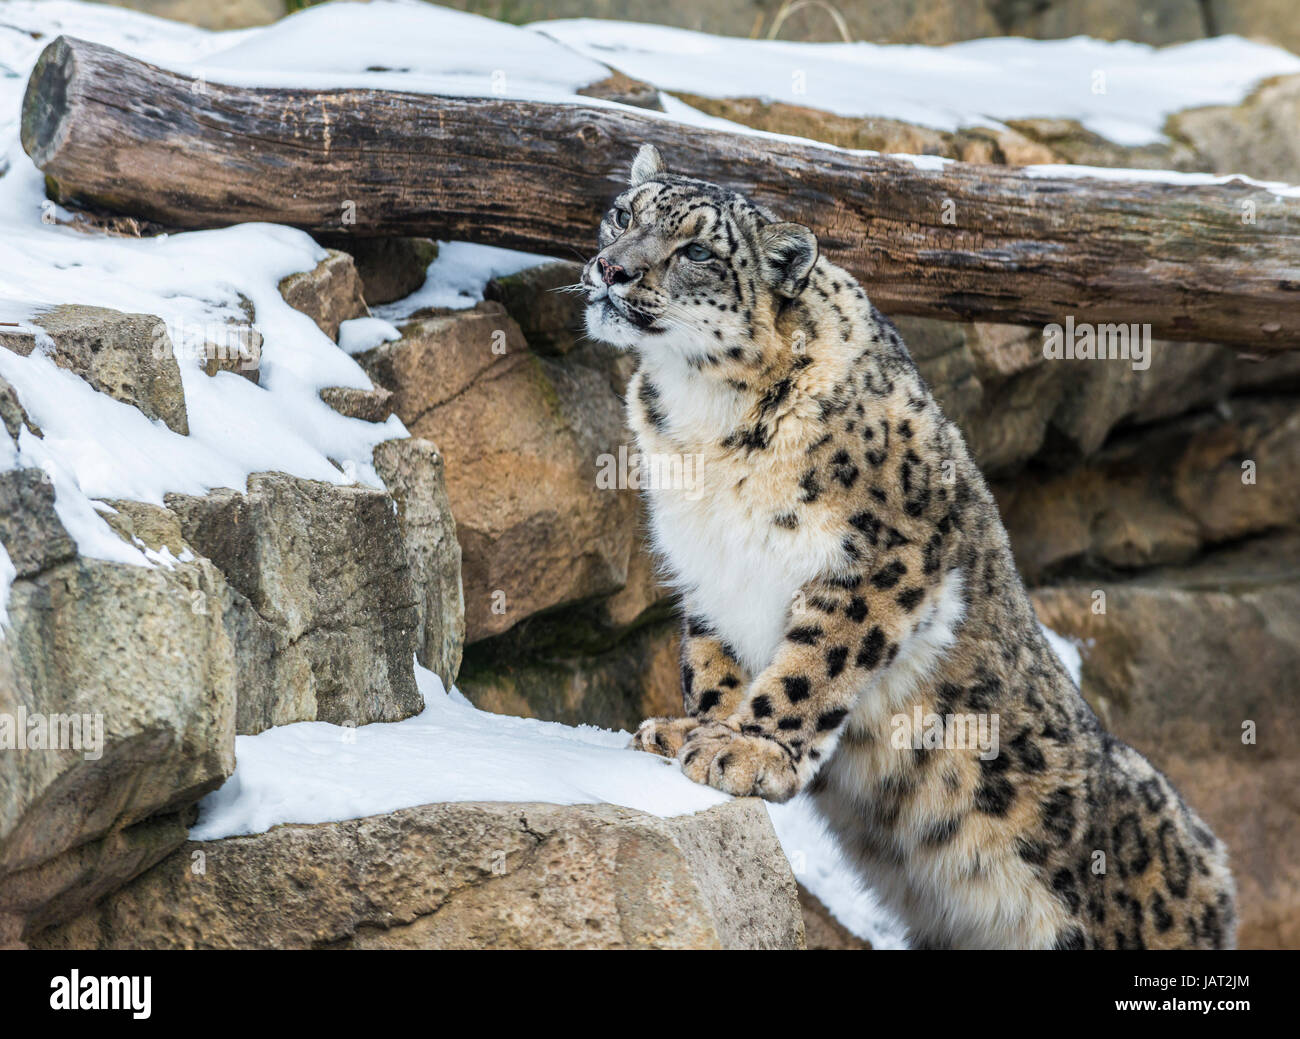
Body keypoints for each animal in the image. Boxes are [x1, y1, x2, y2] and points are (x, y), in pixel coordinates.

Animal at [581, 144, 1237, 950]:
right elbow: (711, 657)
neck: (701, 422)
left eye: (697, 251)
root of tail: (1215, 876)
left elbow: (815, 662)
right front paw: (693, 728)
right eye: (622, 215)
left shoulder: (882, 557)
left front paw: (748, 748)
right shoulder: (705, 564)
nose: (611, 267)